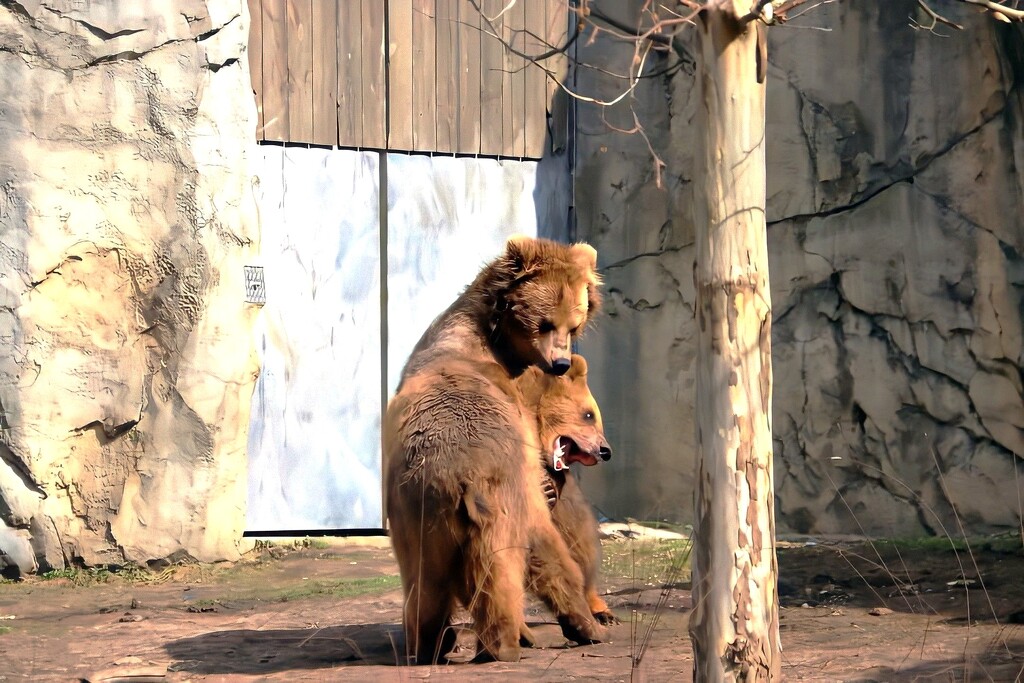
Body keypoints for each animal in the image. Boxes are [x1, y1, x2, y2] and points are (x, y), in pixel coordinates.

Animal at [384, 235, 607, 664]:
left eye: (574, 323)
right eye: (545, 322)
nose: (560, 362)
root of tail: (462, 477)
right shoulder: (518, 417)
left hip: (419, 514)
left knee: (425, 581)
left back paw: (431, 642)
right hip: (502, 496)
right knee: (522, 556)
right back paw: (526, 637)